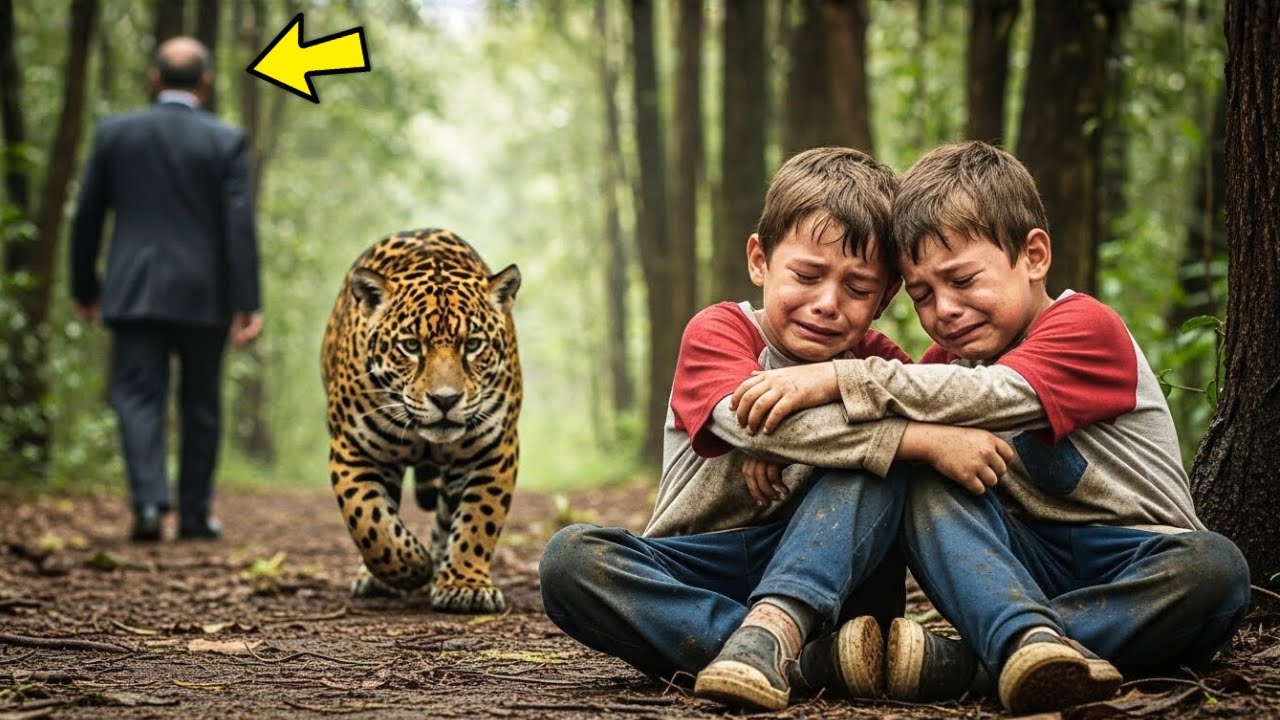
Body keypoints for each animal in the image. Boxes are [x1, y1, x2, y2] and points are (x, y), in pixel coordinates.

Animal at [321, 228, 521, 613]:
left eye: (473, 344)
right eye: (411, 346)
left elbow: (479, 519)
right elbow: (371, 523)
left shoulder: (494, 447)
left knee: (446, 516)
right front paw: (413, 567)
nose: (445, 399)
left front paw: (464, 584)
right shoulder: (352, 448)